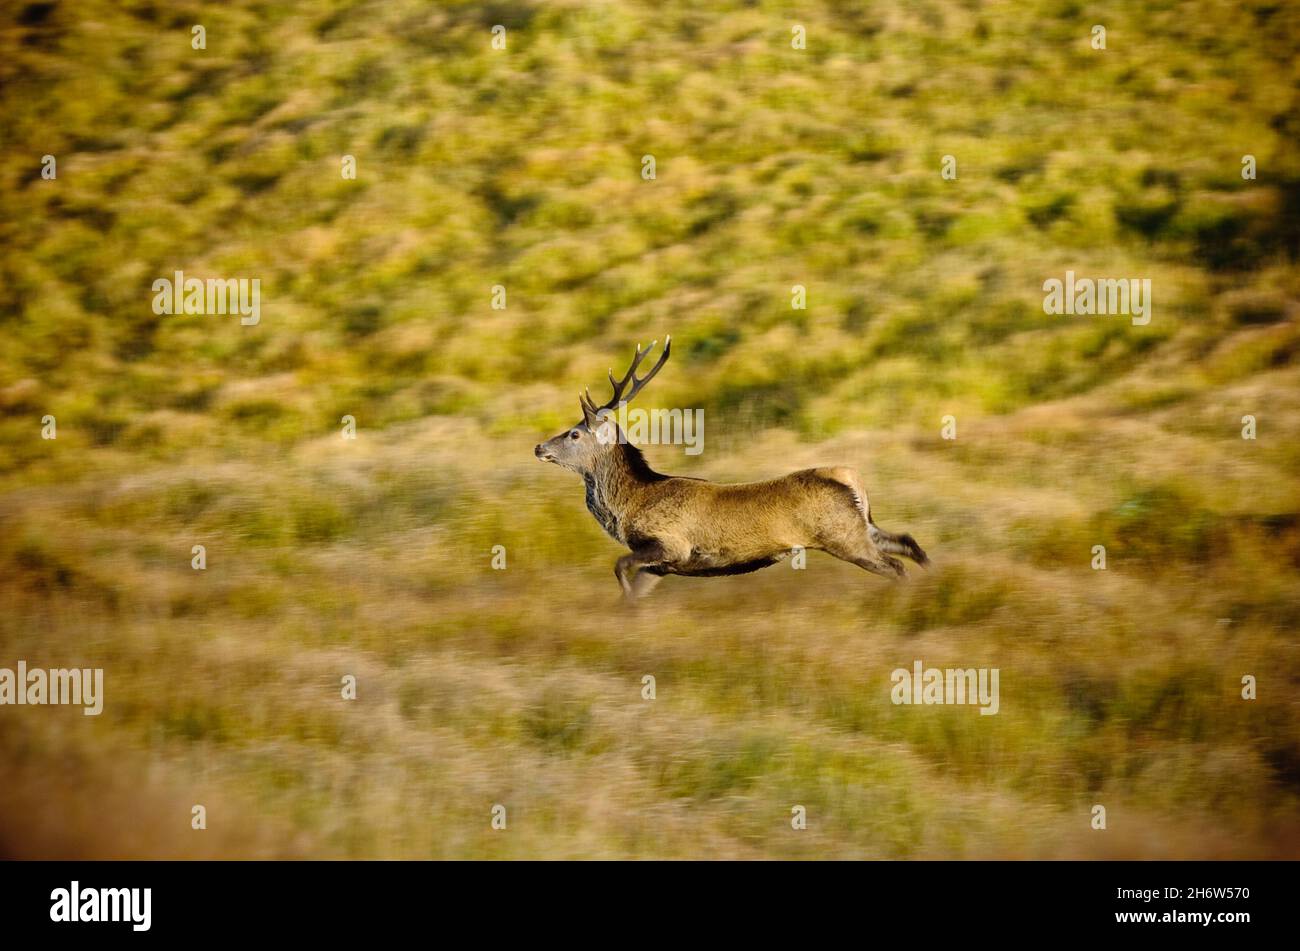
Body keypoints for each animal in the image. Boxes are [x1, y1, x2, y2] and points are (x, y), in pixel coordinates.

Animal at [534, 338, 929, 599]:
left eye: (573, 433)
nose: (539, 447)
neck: (631, 504)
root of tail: (850, 477)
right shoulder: (664, 565)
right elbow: (630, 597)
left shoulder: (669, 545)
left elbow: (619, 568)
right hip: (862, 526)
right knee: (910, 543)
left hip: (842, 536)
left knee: (896, 566)